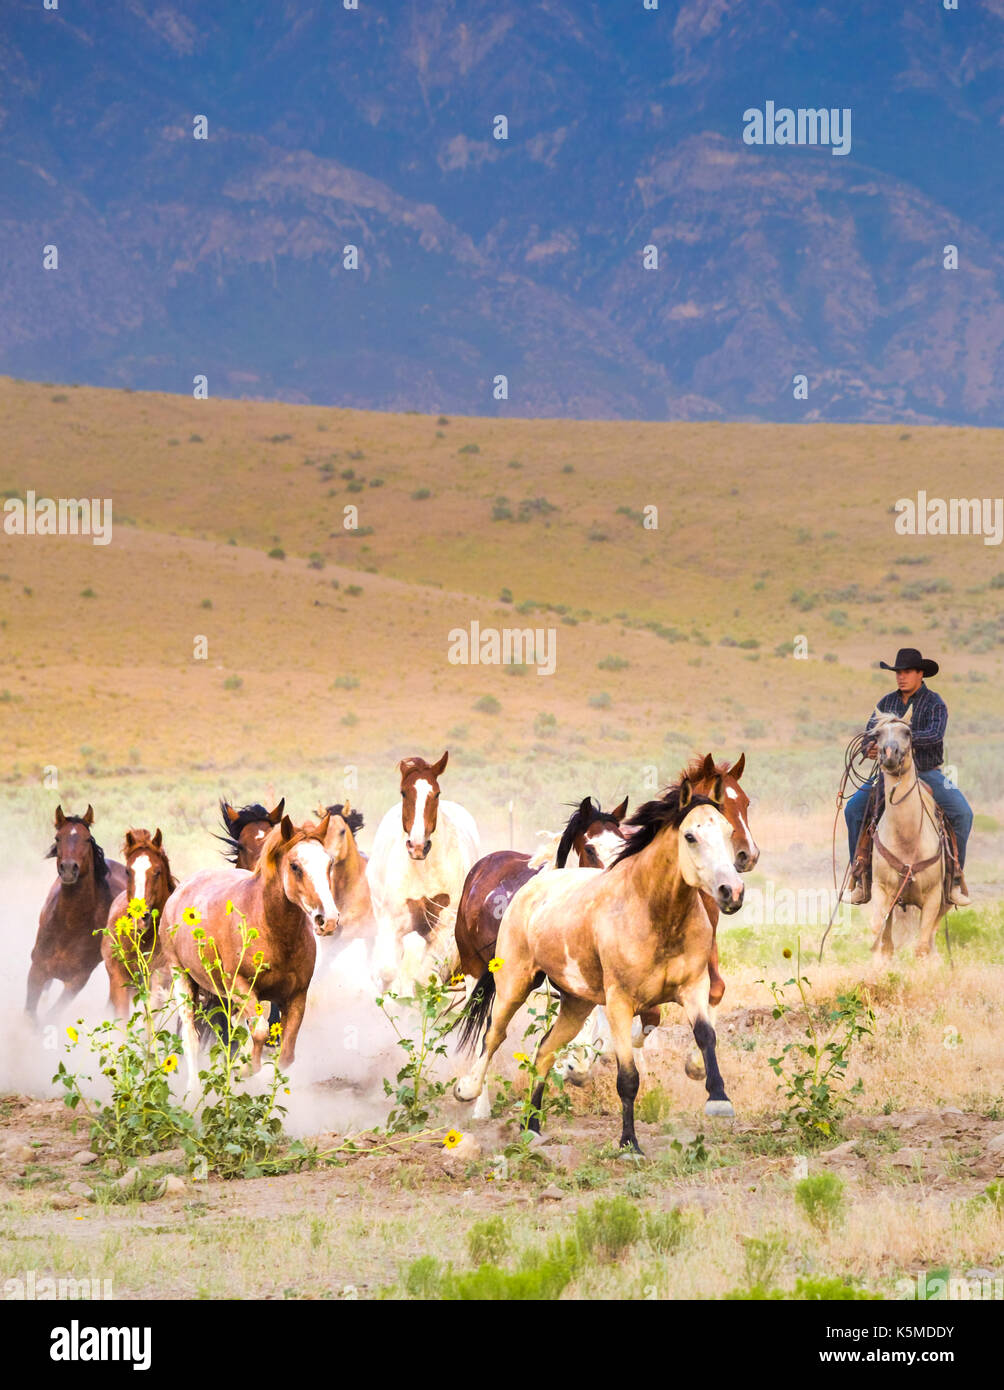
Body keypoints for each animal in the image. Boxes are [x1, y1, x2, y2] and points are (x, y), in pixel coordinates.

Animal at [26, 806, 127, 1021]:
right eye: (58, 838)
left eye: (87, 839)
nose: (68, 869)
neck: (69, 926)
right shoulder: (37, 969)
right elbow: (30, 1015)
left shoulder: (76, 981)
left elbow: (48, 1019)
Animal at [157, 814, 339, 1085]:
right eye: (295, 866)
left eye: (330, 863)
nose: (328, 920)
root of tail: (179, 891)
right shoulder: (242, 989)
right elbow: (260, 1031)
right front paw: (242, 1069)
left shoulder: (296, 997)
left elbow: (286, 1053)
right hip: (183, 979)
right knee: (191, 1038)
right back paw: (194, 1090)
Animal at [368, 752, 480, 990]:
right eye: (404, 792)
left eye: (436, 793)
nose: (418, 846)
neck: (422, 869)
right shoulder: (392, 921)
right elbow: (387, 971)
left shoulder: (445, 928)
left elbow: (426, 978)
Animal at [454, 772, 744, 1153]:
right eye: (690, 836)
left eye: (727, 831)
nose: (732, 892)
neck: (655, 913)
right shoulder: (619, 1002)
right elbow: (627, 1077)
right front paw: (629, 1144)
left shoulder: (693, 988)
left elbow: (705, 1036)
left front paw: (719, 1098)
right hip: (512, 983)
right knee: (493, 1033)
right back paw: (469, 1092)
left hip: (575, 1002)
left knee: (545, 1049)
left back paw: (532, 1125)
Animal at [868, 710, 948, 958]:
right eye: (877, 734)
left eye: (907, 732)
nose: (889, 754)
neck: (908, 837)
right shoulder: (882, 891)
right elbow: (879, 935)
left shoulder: (933, 897)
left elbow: (921, 946)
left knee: (930, 939)